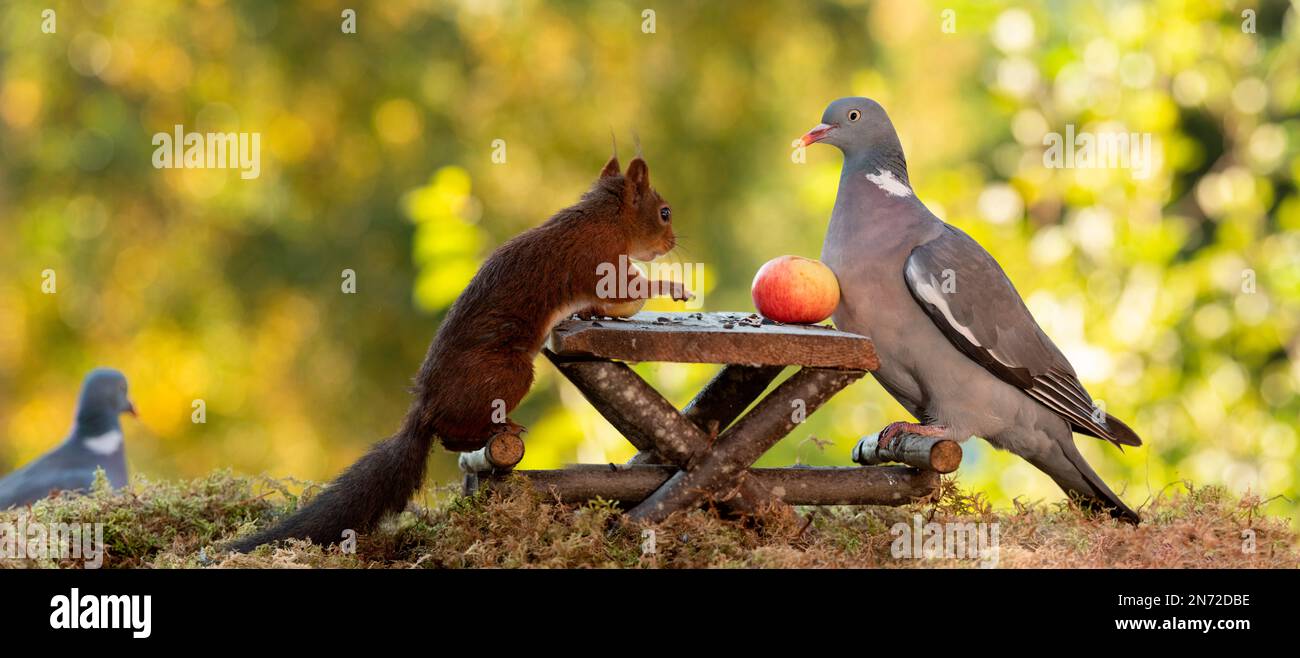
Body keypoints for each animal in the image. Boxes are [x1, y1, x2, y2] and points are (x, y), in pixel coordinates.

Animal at [230, 154, 688, 551]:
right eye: (665, 212)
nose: (672, 243)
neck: (604, 217)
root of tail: (426, 406)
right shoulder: (600, 262)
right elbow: (627, 292)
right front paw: (674, 286)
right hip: (510, 374)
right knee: (451, 435)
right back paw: (499, 429)